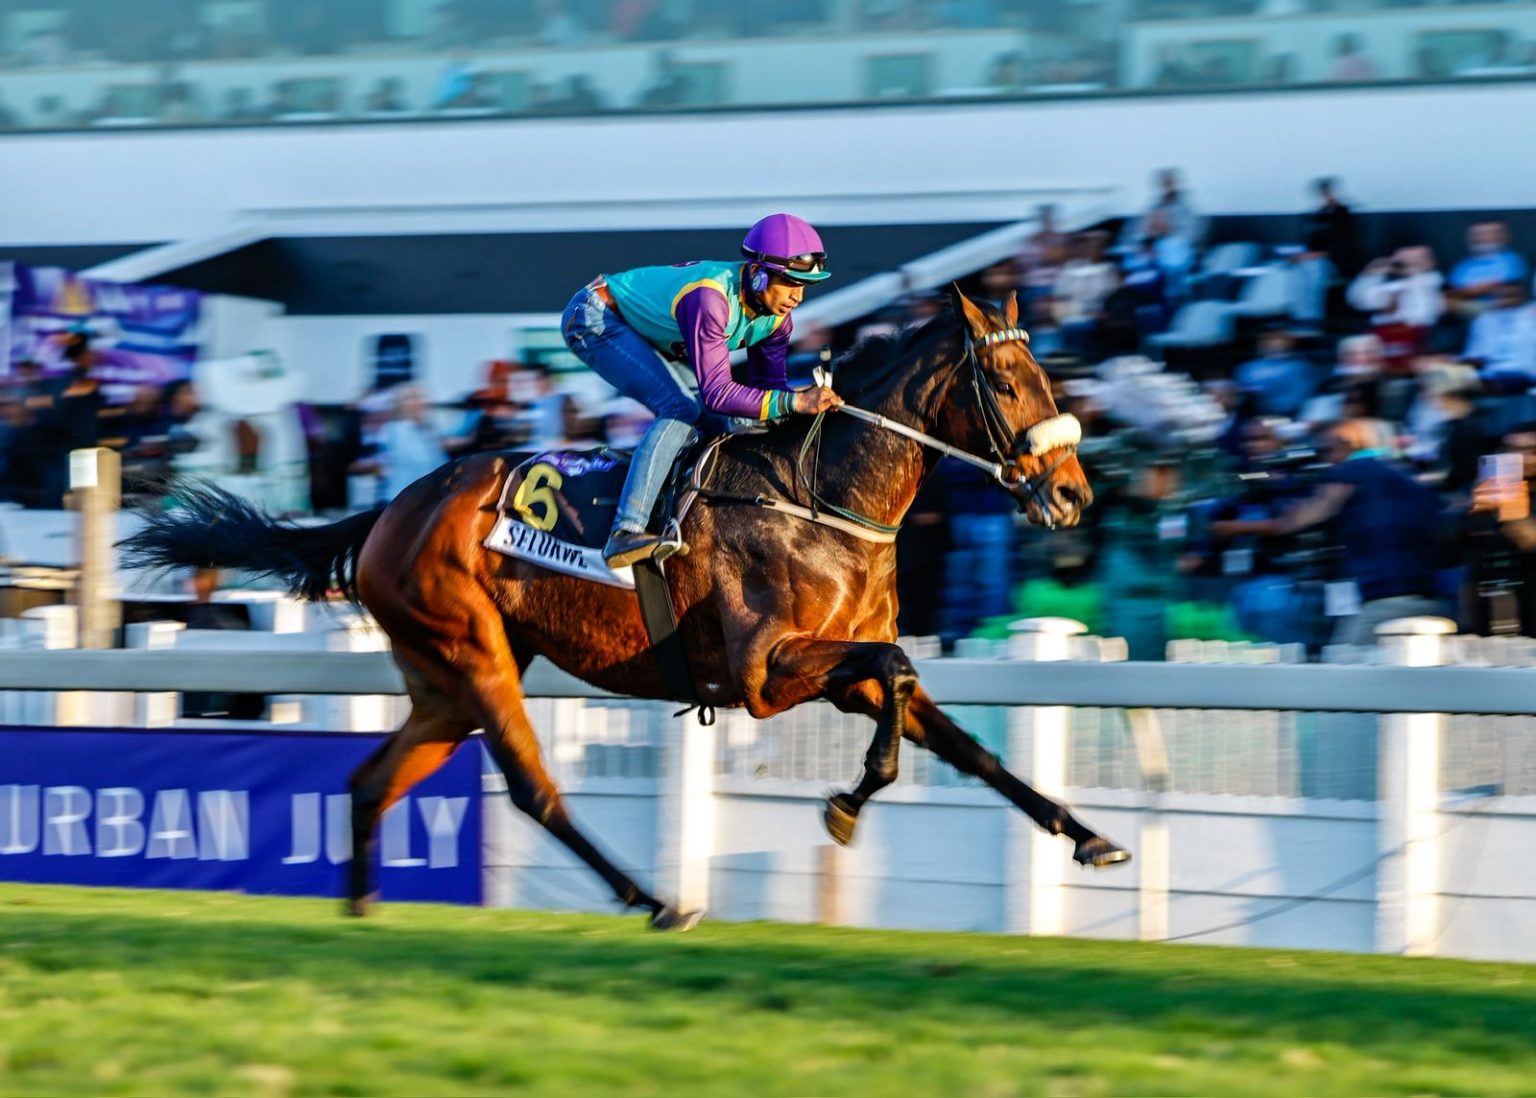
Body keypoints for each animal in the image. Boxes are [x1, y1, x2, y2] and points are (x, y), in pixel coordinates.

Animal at [122, 286, 1130, 931]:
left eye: (1052, 378)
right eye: (1008, 385)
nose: (1072, 496)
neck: (822, 495)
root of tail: (394, 506)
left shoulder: (838, 670)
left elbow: (969, 744)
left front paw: (1090, 840)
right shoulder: (768, 673)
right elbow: (899, 667)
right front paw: (847, 803)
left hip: (443, 679)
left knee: (372, 780)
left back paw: (362, 905)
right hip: (475, 654)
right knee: (534, 787)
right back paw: (654, 900)